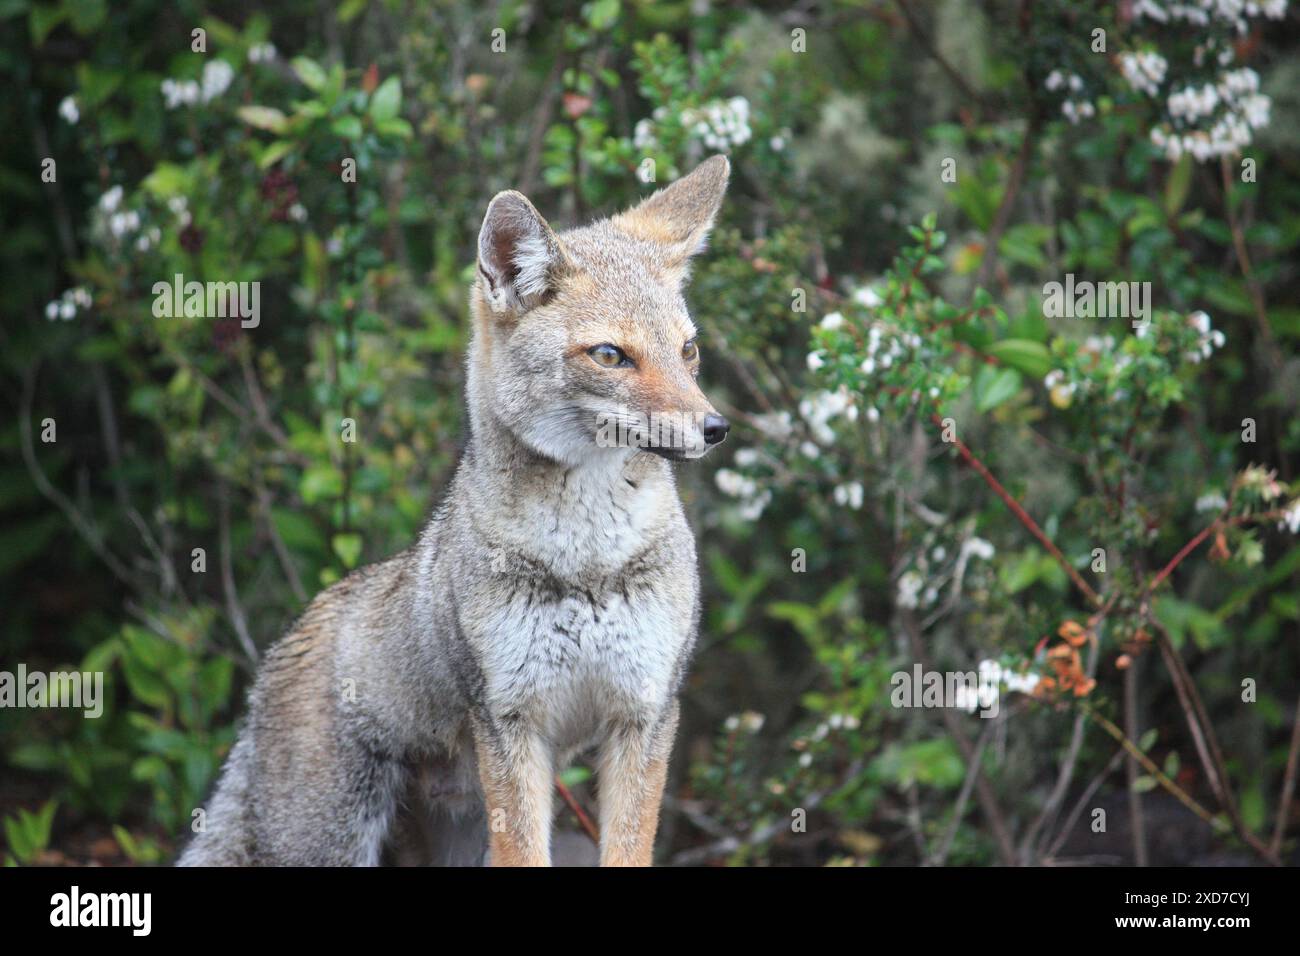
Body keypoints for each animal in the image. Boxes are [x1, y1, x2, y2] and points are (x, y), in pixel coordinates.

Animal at [178, 155, 733, 866]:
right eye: (611, 355)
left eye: (687, 350)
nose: (715, 428)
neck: (586, 560)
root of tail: (273, 660)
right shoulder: (510, 722)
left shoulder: (645, 714)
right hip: (333, 841)